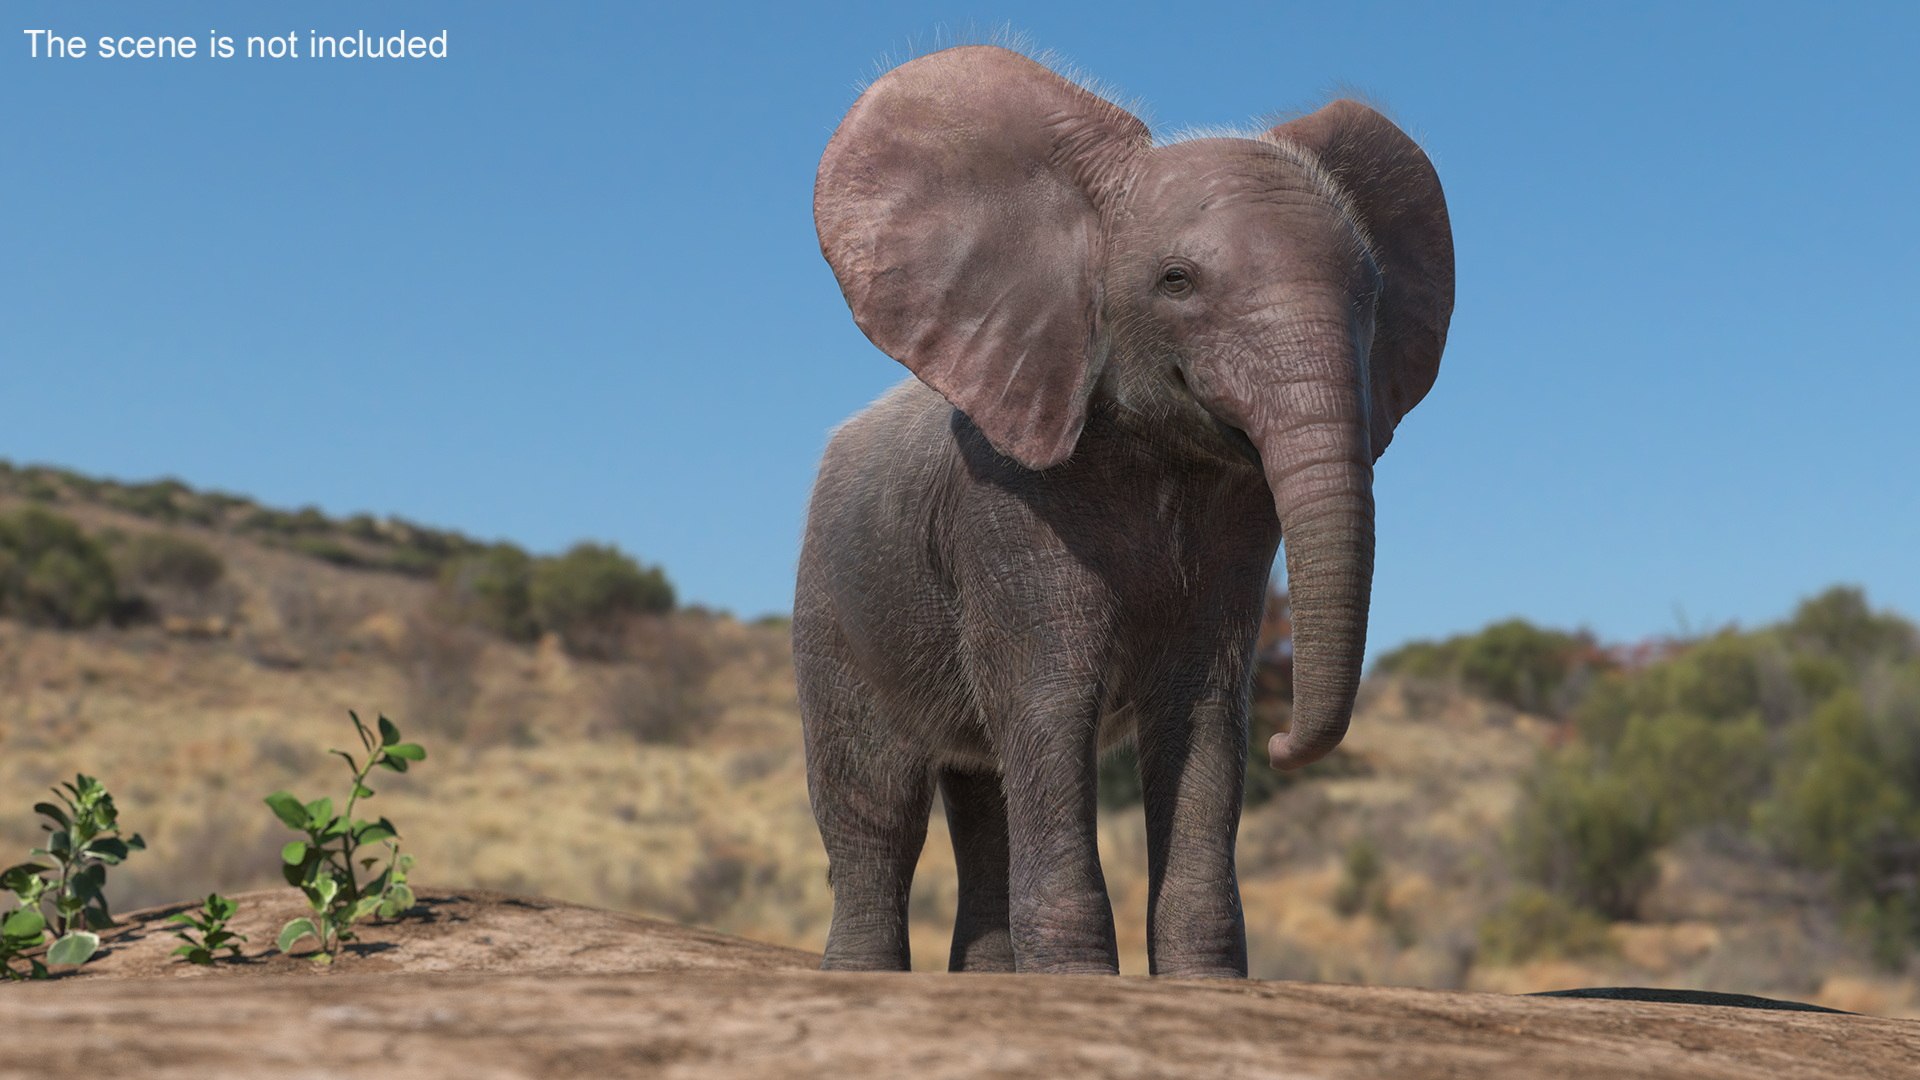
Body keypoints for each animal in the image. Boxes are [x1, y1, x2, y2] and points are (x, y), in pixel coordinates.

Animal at [795, 45, 1453, 977]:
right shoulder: (1007, 507)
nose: (1289, 748)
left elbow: (1203, 713)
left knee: (982, 792)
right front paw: (1078, 977)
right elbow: (1049, 700)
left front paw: (1202, 979)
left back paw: (989, 982)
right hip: (833, 599)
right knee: (874, 800)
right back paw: (866, 974)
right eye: (1176, 282)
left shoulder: (1236, 523)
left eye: (1370, 295)